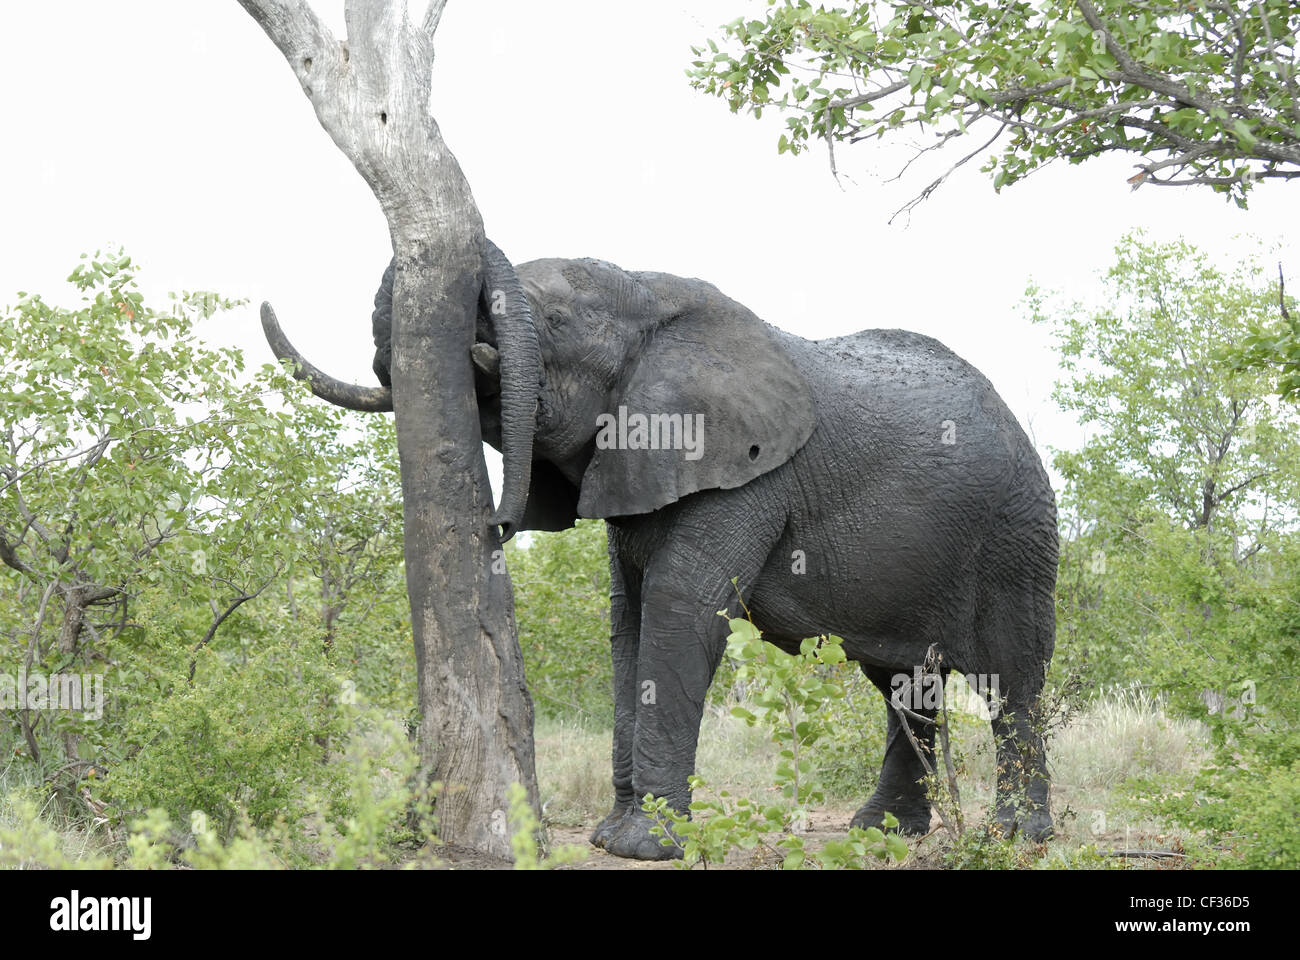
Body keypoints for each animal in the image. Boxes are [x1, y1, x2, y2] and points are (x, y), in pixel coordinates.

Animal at [260, 242, 1058, 860]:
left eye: (554, 322)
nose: (498, 528)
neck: (652, 298)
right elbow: (628, 620)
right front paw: (611, 837)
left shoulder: (749, 473)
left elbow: (680, 606)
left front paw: (646, 846)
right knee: (902, 683)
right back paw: (882, 833)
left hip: (1018, 530)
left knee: (1013, 674)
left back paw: (1018, 837)